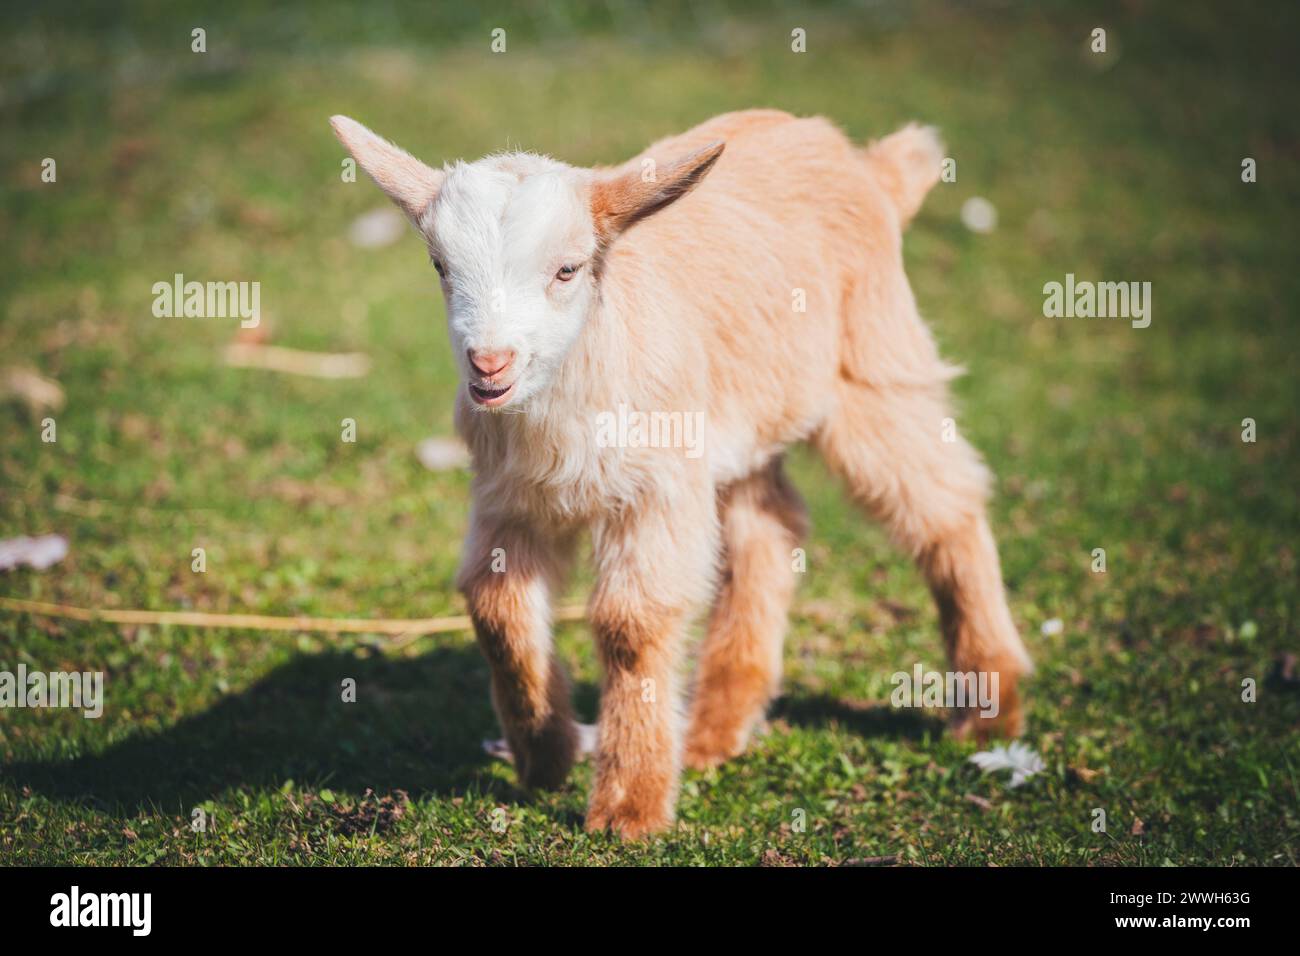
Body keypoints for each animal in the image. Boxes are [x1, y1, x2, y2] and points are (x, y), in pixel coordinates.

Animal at [331, 109, 1031, 839]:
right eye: (440, 266)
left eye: (567, 270)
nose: (489, 364)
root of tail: (866, 164)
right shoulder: (509, 499)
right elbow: (496, 610)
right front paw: (545, 755)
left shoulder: (654, 493)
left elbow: (631, 624)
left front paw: (629, 805)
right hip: (744, 422)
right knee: (770, 525)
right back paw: (712, 731)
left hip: (873, 368)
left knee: (945, 503)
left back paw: (989, 711)